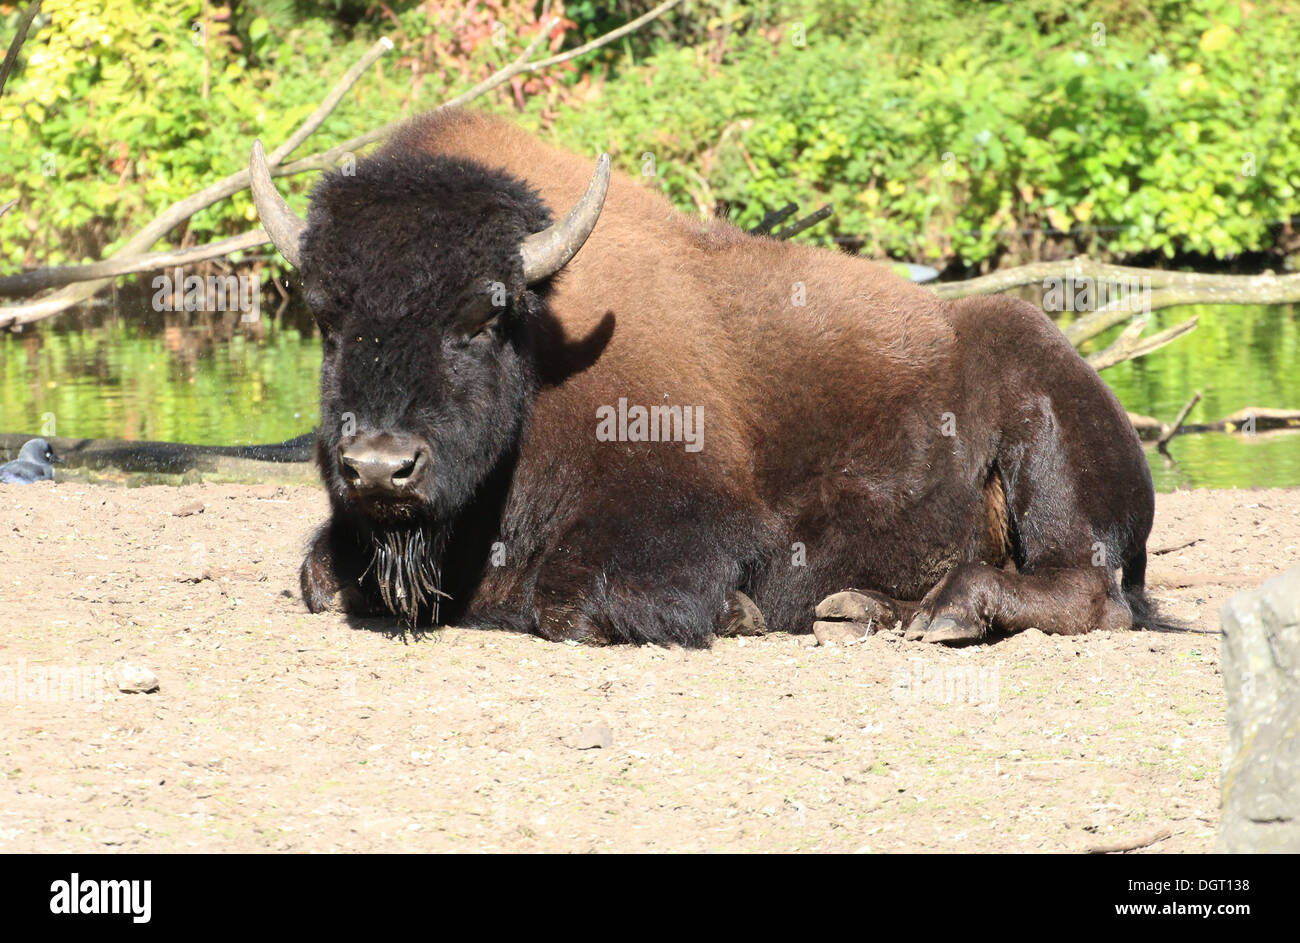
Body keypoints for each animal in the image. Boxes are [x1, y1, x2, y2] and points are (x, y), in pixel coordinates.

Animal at [248, 108, 1160, 647]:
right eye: (327, 317)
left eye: (481, 317)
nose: (380, 466)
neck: (548, 345)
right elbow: (318, 577)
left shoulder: (695, 510)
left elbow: (568, 597)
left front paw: (739, 612)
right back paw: (865, 610)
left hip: (1049, 447)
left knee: (1090, 593)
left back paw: (947, 613)